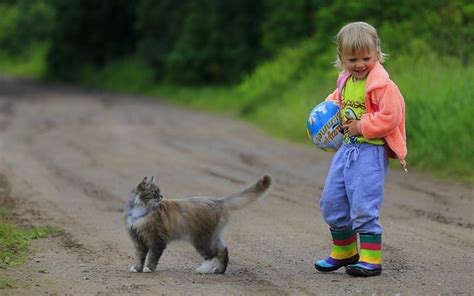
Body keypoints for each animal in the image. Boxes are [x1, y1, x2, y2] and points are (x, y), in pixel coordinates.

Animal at [123, 175, 270, 274]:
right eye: (155, 192)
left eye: (159, 191)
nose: (161, 196)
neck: (141, 210)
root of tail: (218, 201)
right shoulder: (138, 240)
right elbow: (140, 256)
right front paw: (137, 268)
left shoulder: (156, 240)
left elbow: (152, 257)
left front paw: (148, 268)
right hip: (213, 236)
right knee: (223, 250)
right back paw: (219, 270)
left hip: (200, 239)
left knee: (211, 254)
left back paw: (202, 269)